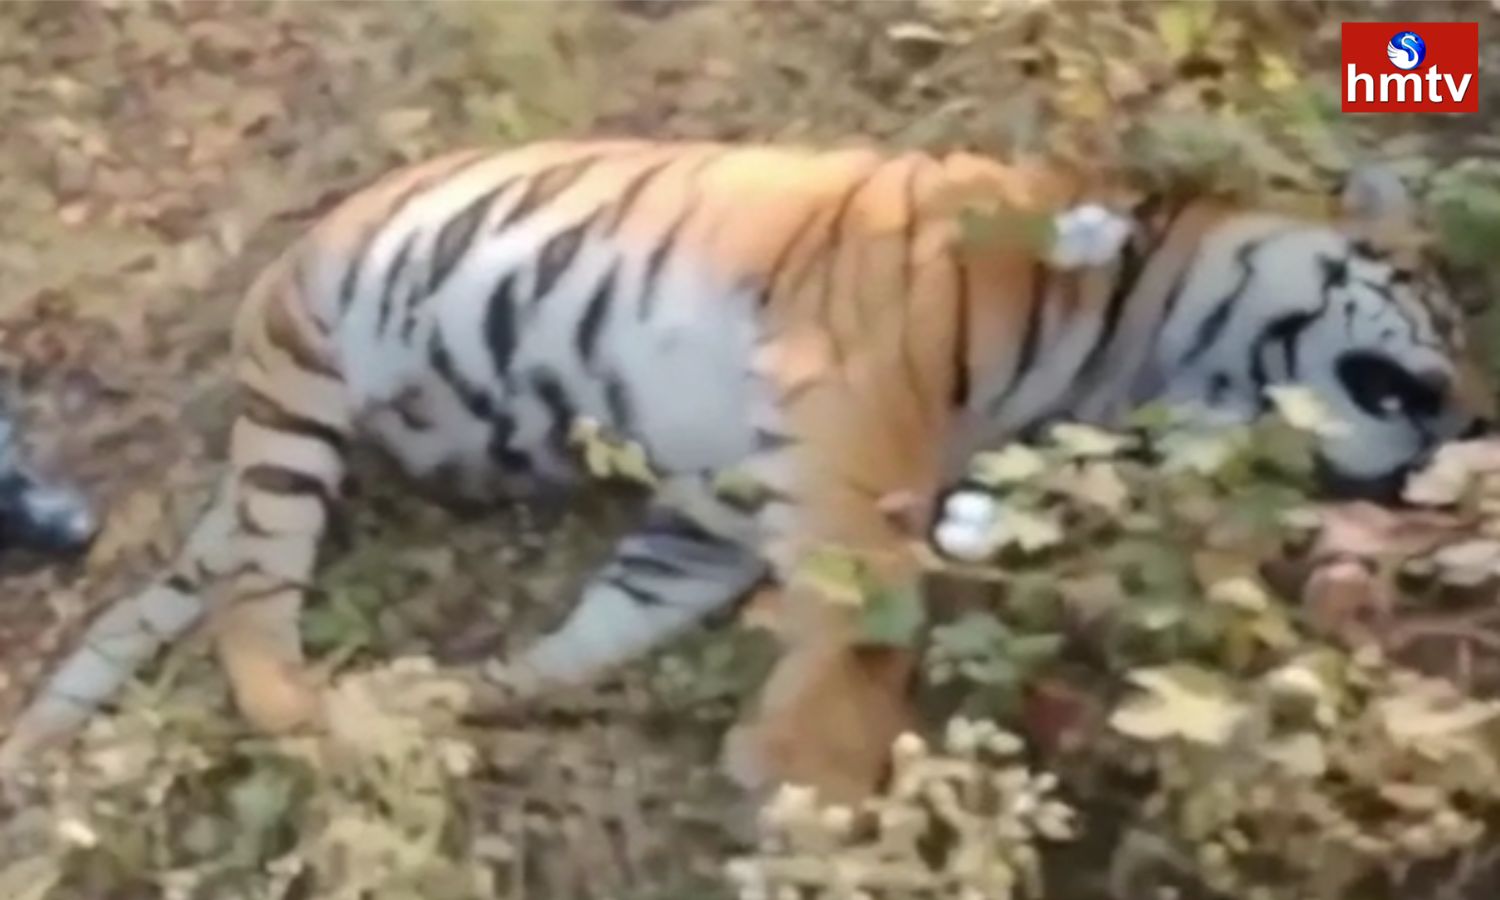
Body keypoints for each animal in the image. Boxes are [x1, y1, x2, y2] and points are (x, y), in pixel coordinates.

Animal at [0, 140, 1490, 803]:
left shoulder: (720, 509)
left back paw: (420, 706)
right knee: (252, 609)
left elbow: (656, 618)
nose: (1471, 432)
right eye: (1432, 298)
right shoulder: (863, 403)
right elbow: (874, 607)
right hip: (303, 390)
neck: (1134, 347)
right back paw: (313, 714)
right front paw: (821, 783)